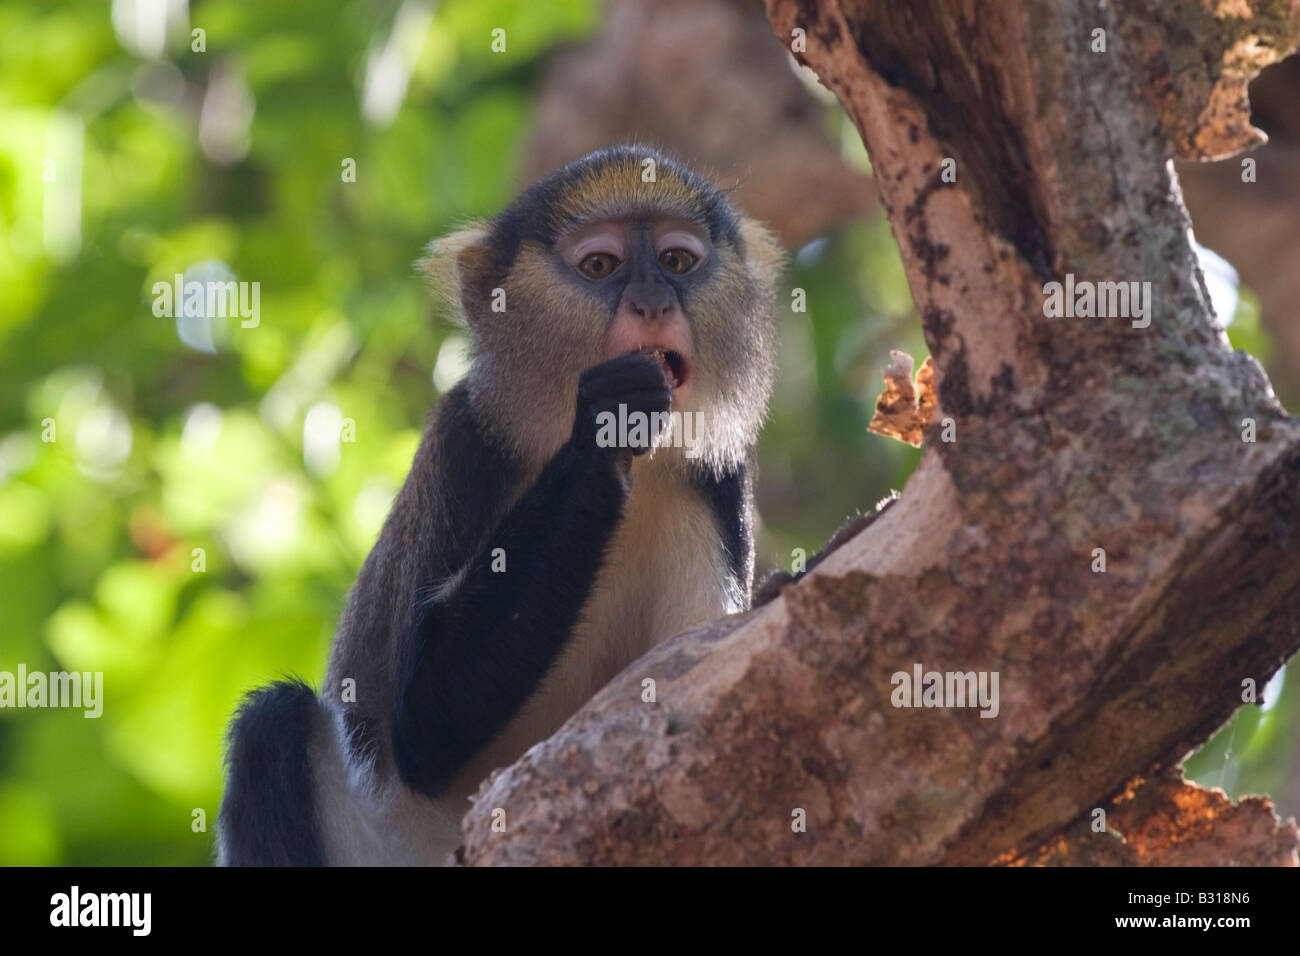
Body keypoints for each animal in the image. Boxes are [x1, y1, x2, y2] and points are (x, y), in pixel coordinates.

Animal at [217, 146, 784, 865]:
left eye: (678, 261)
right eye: (600, 266)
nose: (655, 302)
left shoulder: (717, 481)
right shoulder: (465, 445)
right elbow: (423, 724)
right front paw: (604, 425)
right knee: (274, 723)